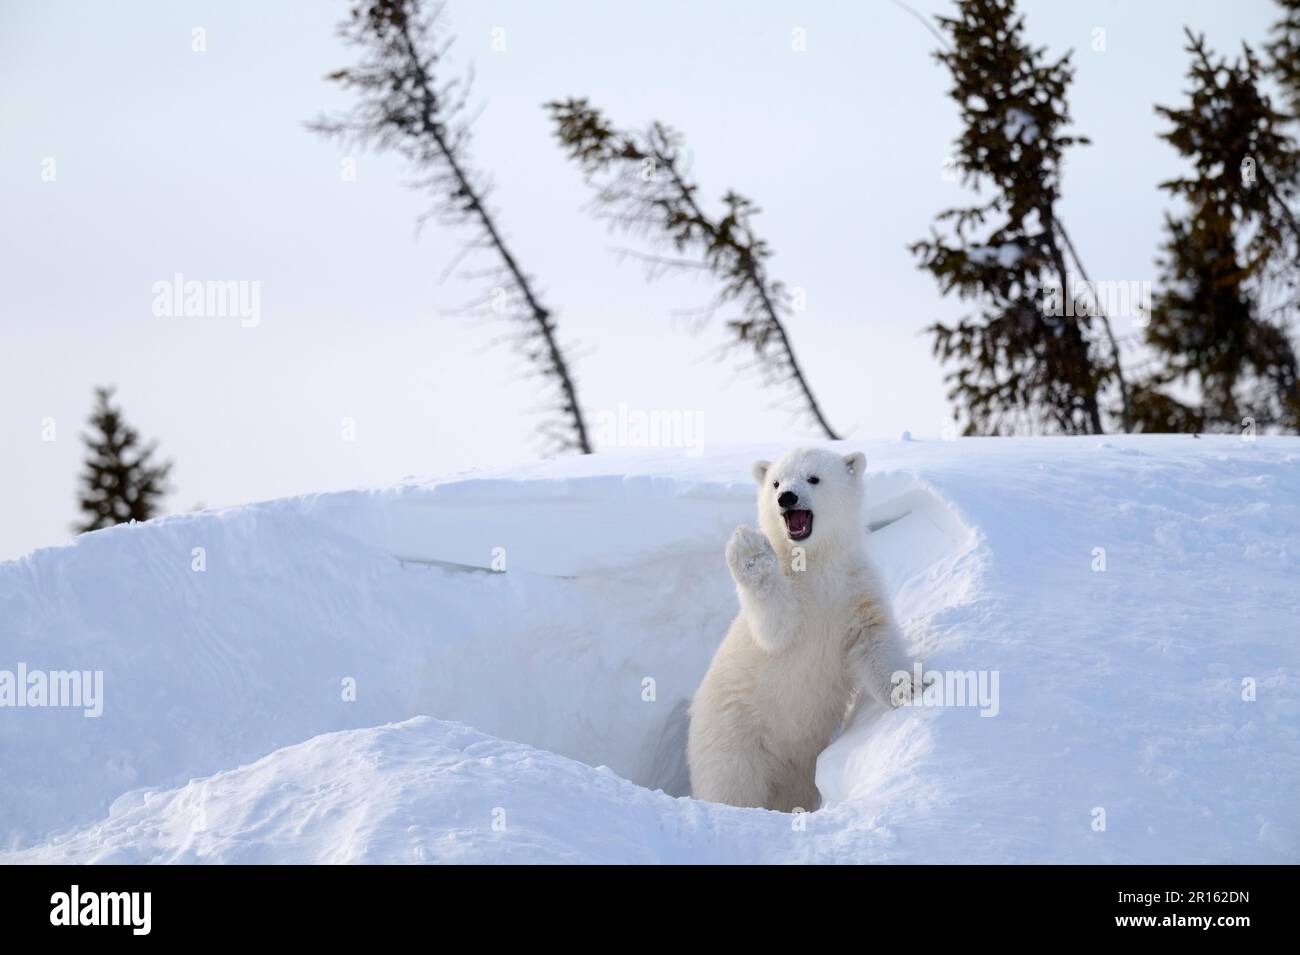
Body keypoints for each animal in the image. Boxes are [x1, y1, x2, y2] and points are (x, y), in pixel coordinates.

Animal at [687, 447, 914, 812]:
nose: (787, 498)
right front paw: (749, 550)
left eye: (813, 478)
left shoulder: (854, 587)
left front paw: (910, 689)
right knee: (731, 785)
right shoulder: (792, 603)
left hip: (799, 766)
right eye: (776, 482)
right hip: (734, 734)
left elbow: (872, 638)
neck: (813, 563)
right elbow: (776, 626)